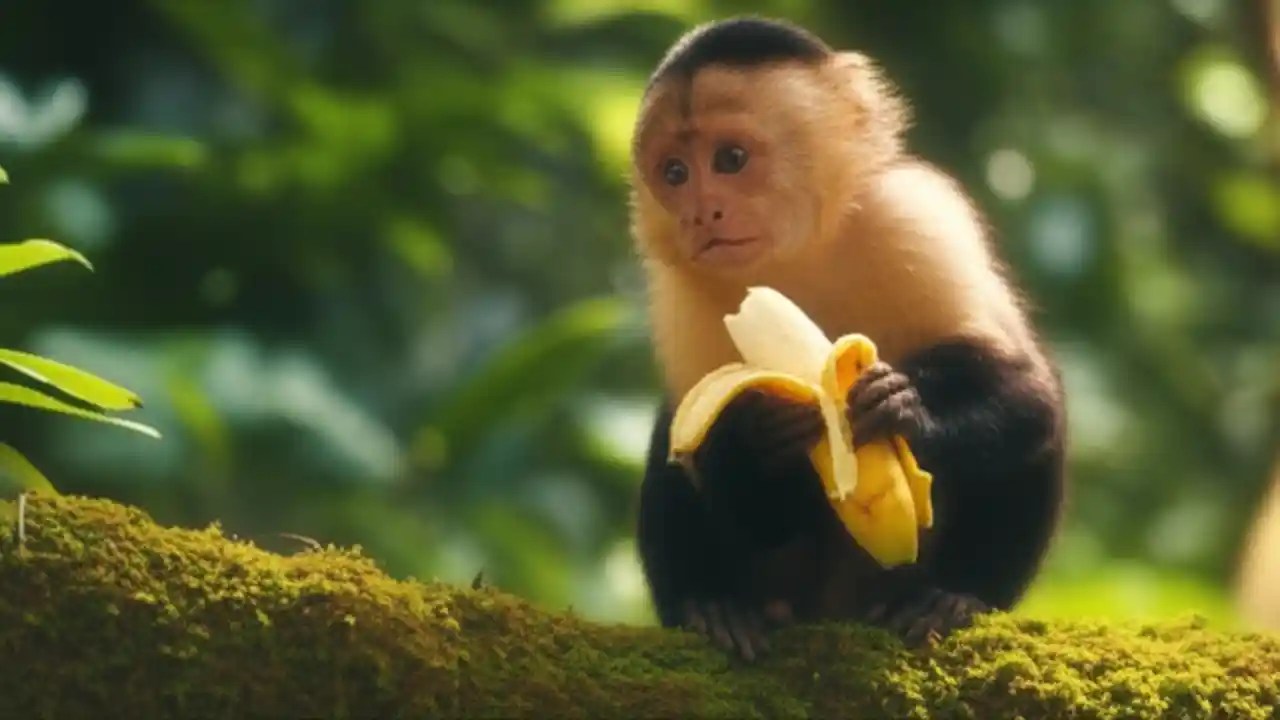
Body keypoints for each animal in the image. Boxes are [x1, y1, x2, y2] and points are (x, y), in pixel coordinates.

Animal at [630, 17, 1067, 660]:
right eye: (675, 174)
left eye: (731, 159)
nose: (700, 215)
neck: (798, 261)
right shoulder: (675, 300)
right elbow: (732, 486)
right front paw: (763, 437)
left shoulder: (915, 217)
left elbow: (1026, 392)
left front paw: (905, 407)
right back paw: (715, 608)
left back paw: (953, 596)